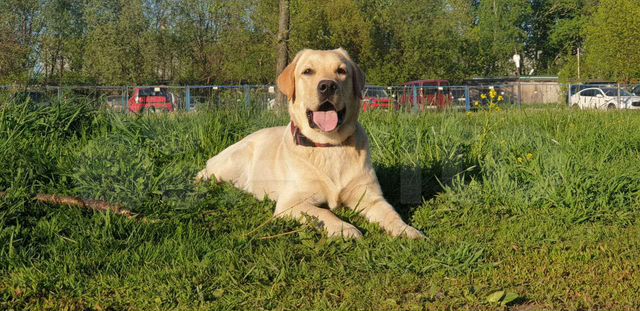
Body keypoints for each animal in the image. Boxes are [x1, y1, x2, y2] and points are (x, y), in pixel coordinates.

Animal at [198, 48, 422, 240]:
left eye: (341, 71)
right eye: (308, 71)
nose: (327, 85)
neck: (329, 145)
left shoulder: (371, 197)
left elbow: (391, 213)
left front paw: (407, 230)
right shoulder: (291, 203)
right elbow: (324, 213)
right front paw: (345, 228)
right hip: (235, 159)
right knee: (205, 172)